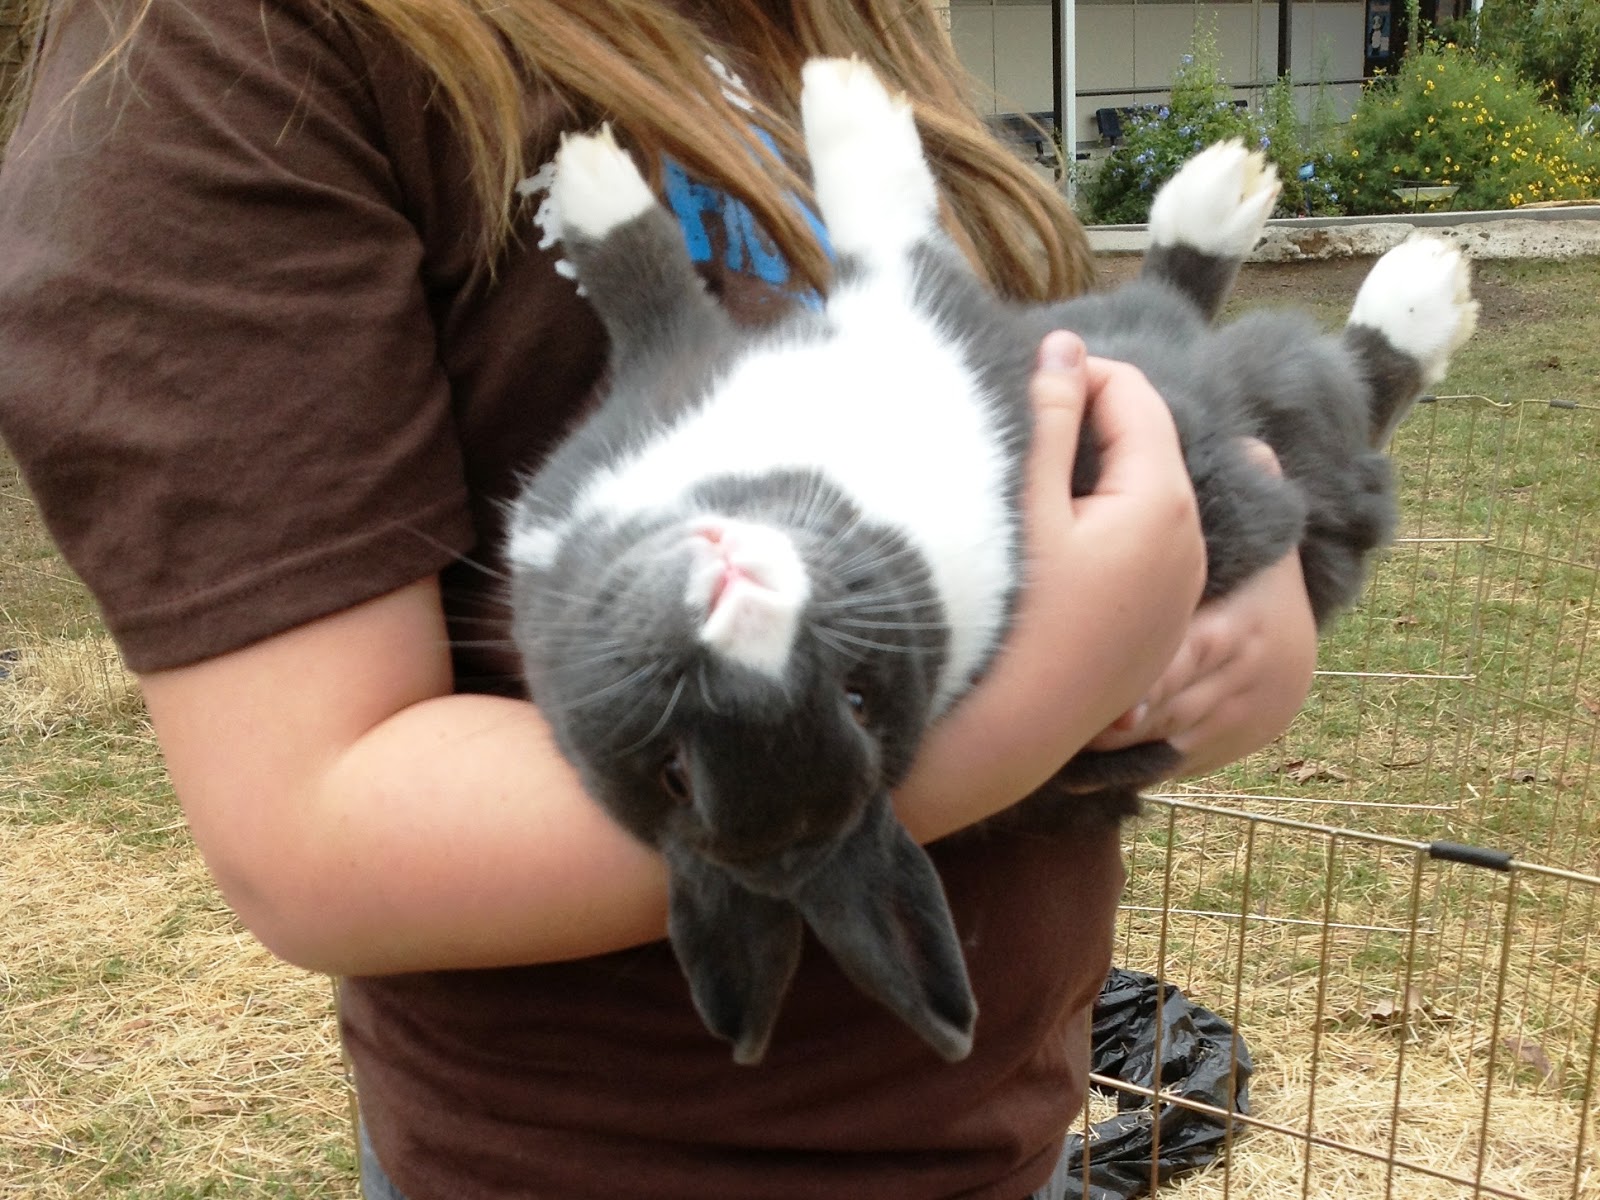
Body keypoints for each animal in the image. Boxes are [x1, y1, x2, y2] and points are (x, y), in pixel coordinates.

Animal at [505, 56, 1479, 1066]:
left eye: (857, 697)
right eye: (675, 773)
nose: (740, 606)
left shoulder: (751, 346)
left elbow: (668, 270)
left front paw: (596, 172)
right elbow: (826, 232)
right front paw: (817, 101)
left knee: (1189, 308)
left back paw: (1239, 200)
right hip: (1295, 433)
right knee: (1348, 381)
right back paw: (1402, 278)